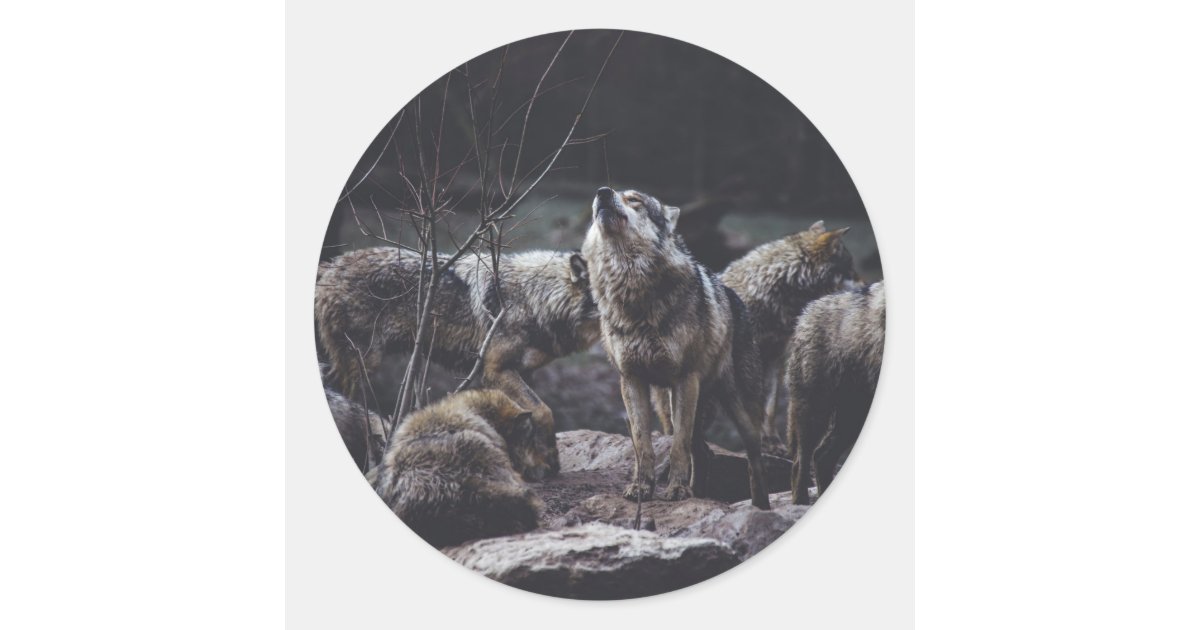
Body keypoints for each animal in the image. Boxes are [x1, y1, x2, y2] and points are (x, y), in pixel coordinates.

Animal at [315, 246, 601, 480]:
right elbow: (543, 410)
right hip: (363, 364)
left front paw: (536, 464)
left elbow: (527, 417)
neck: (536, 298)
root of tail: (330, 266)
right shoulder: (496, 369)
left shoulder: (522, 371)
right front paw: (550, 460)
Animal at [581, 186, 770, 510]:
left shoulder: (685, 379)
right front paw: (641, 488)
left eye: (635, 199)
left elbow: (678, 447)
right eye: (607, 194)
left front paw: (677, 490)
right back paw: (699, 493)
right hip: (671, 406)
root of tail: (735, 297)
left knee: (753, 459)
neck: (632, 291)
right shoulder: (631, 380)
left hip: (738, 411)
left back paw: (760, 506)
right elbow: (642, 444)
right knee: (704, 452)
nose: (603, 192)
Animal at [786, 280, 885, 505]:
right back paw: (800, 502)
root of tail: (805, 314)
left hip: (853, 417)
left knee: (821, 457)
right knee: (801, 461)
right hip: (816, 412)